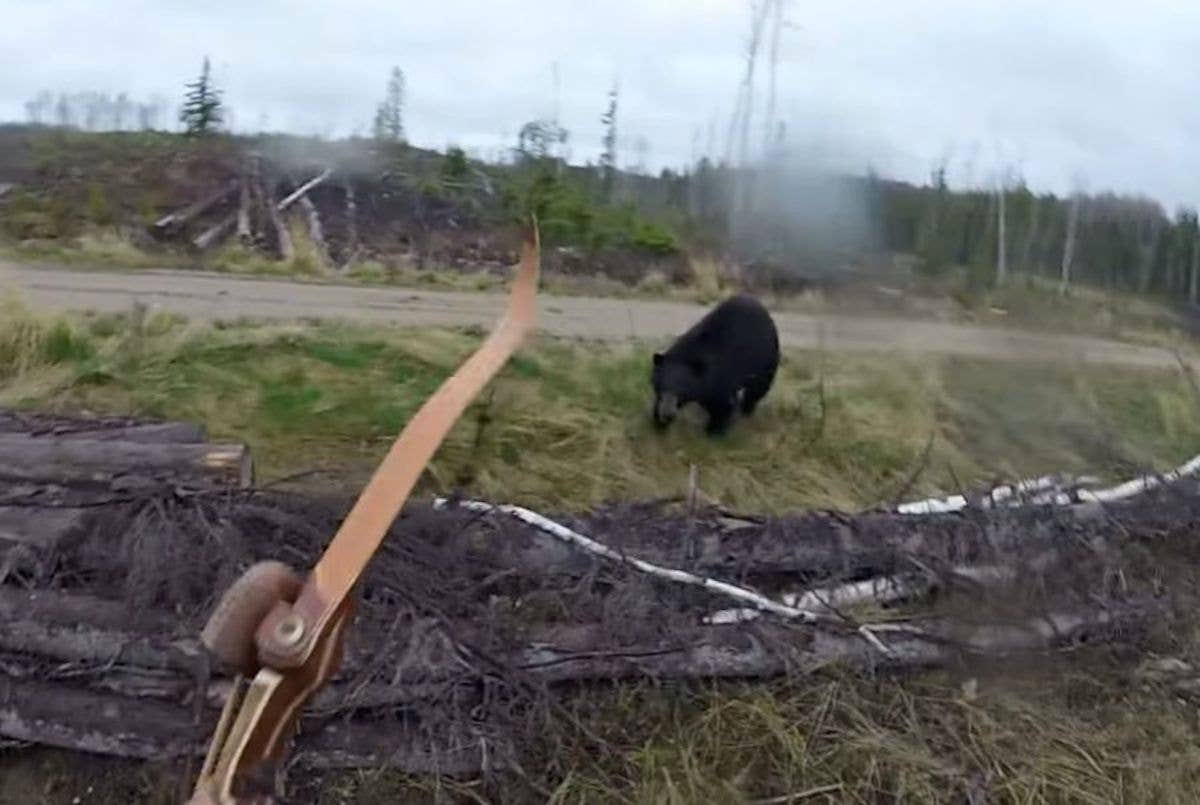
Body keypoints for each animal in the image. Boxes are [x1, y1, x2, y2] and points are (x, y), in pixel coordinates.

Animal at [651, 293, 780, 435]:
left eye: (682, 388)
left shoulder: (721, 375)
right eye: (661, 385)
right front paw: (658, 422)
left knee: (758, 389)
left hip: (765, 359)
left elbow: (722, 406)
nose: (667, 414)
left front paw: (714, 431)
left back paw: (746, 411)